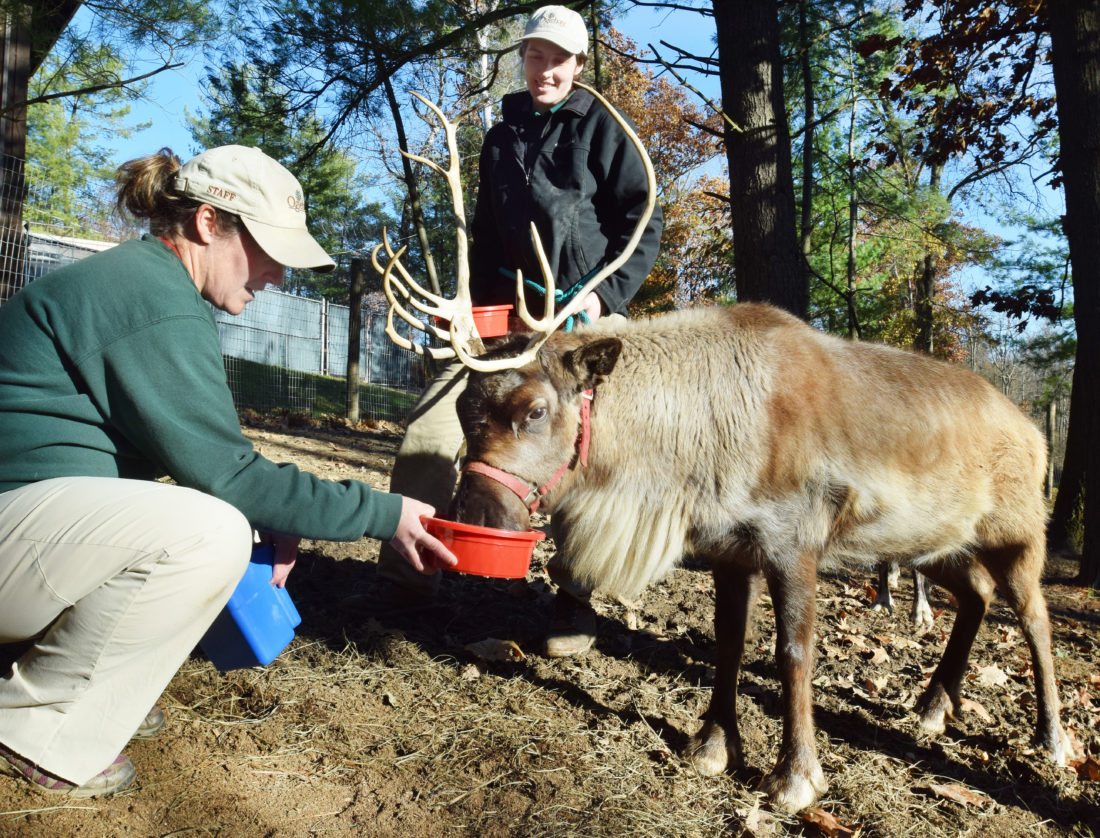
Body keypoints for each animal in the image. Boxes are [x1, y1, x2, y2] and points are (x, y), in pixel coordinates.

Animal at [373, 87, 1072, 814]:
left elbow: (794, 651)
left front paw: (795, 777)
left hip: (1018, 531)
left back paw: (1052, 740)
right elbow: (729, 643)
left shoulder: (795, 540)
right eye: (463, 408)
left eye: (536, 410)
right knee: (977, 597)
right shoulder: (729, 546)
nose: (475, 515)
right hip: (937, 543)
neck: (685, 452)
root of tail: (1034, 431)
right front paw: (712, 745)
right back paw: (934, 706)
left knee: (1036, 618)